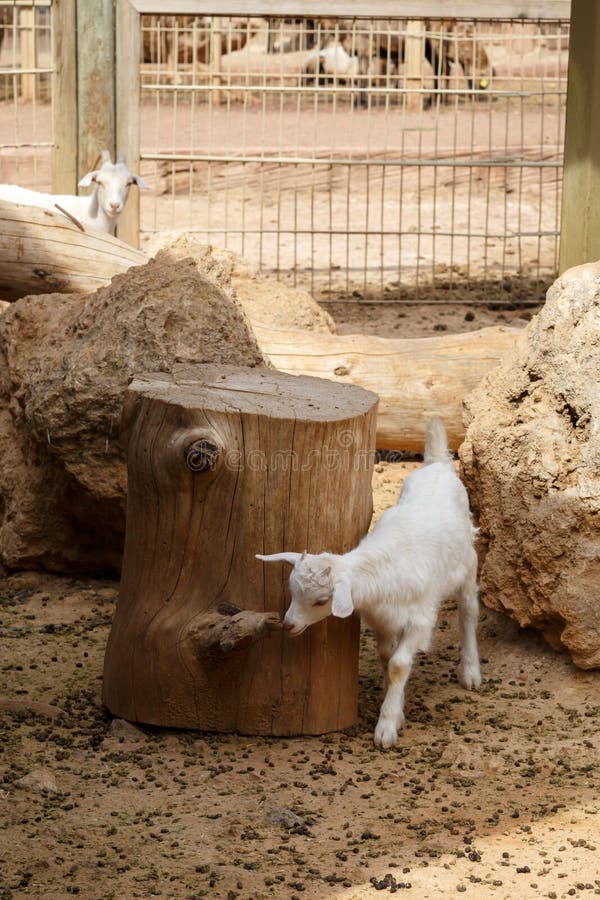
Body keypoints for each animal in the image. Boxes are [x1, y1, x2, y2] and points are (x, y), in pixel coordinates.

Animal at [257, 416, 482, 749]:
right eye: (292, 592)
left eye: (321, 601)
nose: (288, 625)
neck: (382, 569)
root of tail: (438, 464)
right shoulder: (382, 620)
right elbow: (388, 658)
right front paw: (396, 709)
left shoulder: (420, 620)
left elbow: (399, 663)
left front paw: (386, 726)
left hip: (467, 565)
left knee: (468, 613)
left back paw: (470, 670)